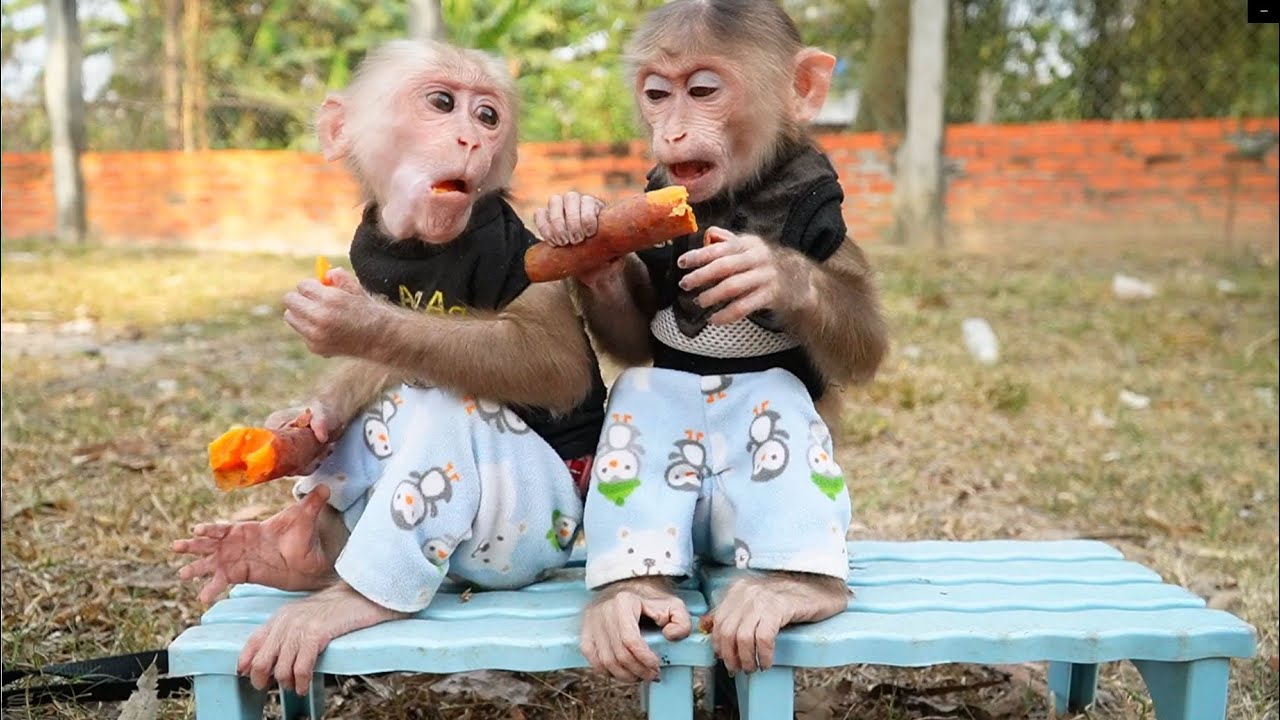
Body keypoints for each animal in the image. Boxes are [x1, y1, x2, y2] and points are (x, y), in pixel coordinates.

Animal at [172, 39, 608, 696]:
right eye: (442, 103)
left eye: (488, 116)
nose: (472, 138)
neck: (417, 245)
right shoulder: (368, 246)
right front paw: (304, 425)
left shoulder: (511, 243)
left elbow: (553, 361)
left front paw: (353, 321)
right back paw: (289, 549)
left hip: (535, 523)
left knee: (443, 408)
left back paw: (355, 597)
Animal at [535, 0, 888, 682]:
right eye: (656, 96)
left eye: (701, 91)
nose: (671, 133)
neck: (734, 195)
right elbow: (636, 334)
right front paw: (579, 225)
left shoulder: (825, 214)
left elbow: (865, 342)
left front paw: (772, 273)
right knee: (646, 388)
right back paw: (631, 597)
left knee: (778, 397)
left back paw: (792, 588)